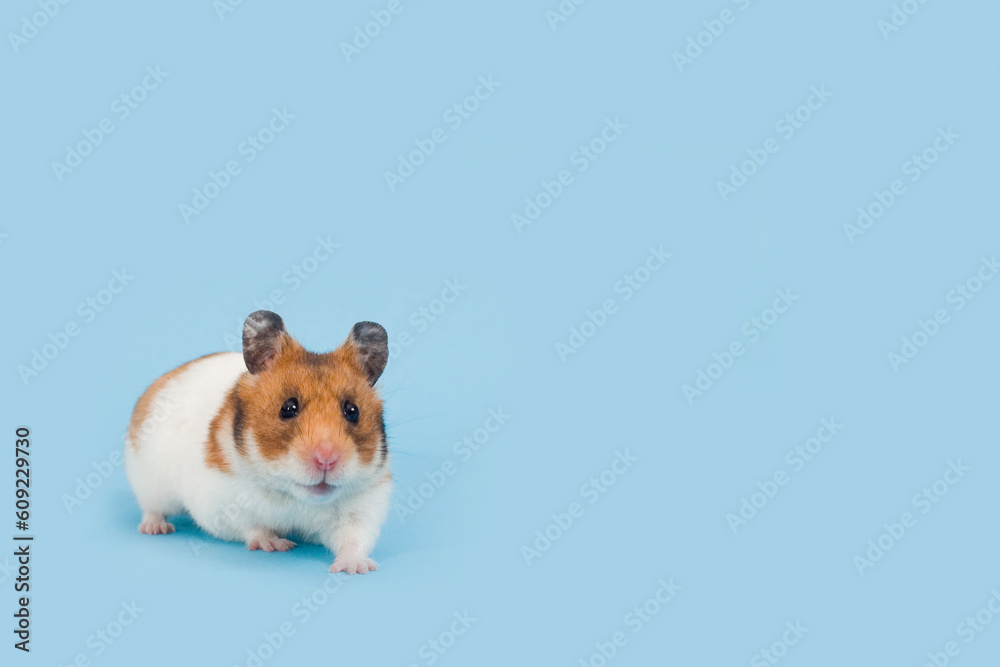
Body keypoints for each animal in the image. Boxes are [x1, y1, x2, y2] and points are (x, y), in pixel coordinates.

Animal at [124, 310, 392, 574]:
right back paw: (155, 528)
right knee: (152, 509)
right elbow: (253, 526)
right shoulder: (221, 503)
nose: (326, 459)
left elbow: (354, 539)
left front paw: (355, 568)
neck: (293, 495)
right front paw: (276, 544)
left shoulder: (364, 505)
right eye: (288, 408)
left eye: (352, 411)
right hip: (151, 485)